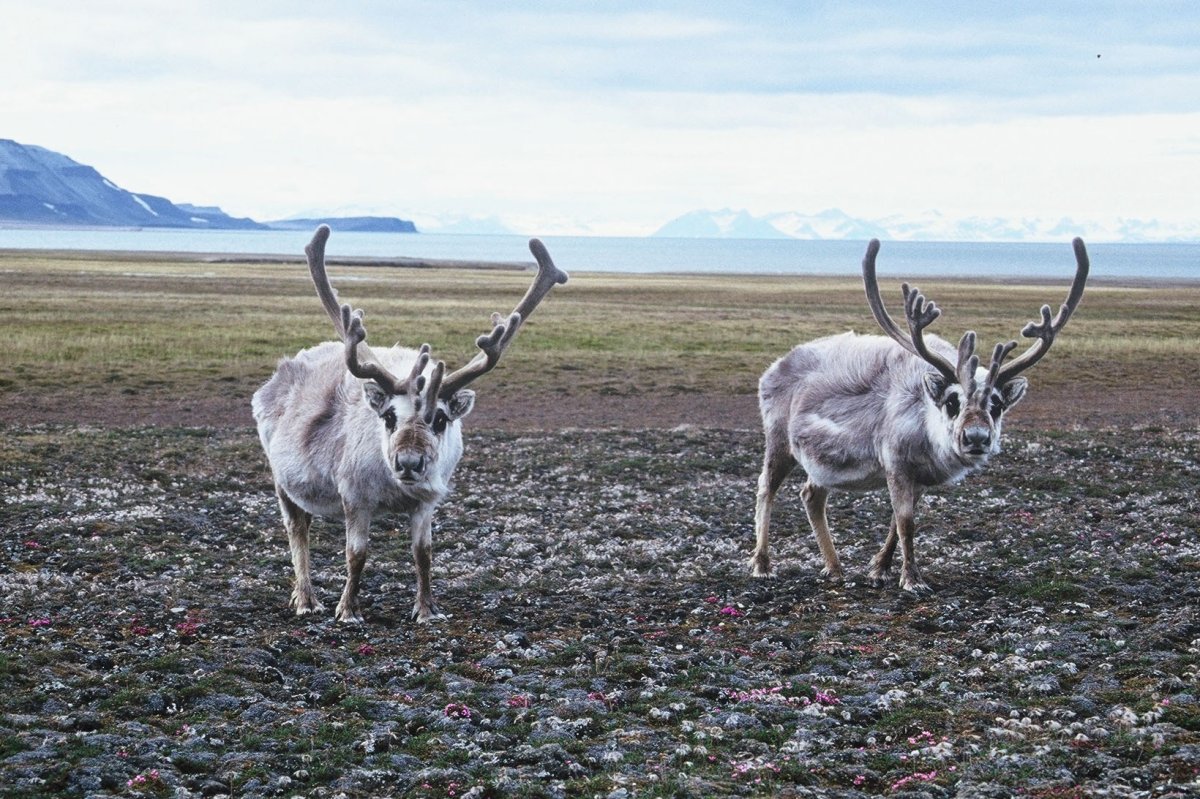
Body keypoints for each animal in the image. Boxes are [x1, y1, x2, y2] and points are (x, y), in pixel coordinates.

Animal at [252, 225, 568, 623]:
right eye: (389, 416)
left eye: (441, 418)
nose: (409, 463)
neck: (394, 489)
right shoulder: (354, 494)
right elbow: (356, 554)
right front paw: (347, 609)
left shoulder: (428, 500)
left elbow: (424, 554)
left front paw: (427, 609)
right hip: (280, 477)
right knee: (297, 529)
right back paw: (306, 599)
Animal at [751, 238, 1088, 593]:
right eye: (952, 402)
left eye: (996, 405)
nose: (976, 438)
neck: (927, 425)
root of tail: (772, 368)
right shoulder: (896, 463)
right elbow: (905, 522)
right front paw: (912, 578)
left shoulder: (922, 476)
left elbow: (897, 523)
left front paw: (880, 569)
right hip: (779, 441)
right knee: (765, 488)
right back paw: (763, 564)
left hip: (821, 463)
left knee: (811, 495)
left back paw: (834, 567)